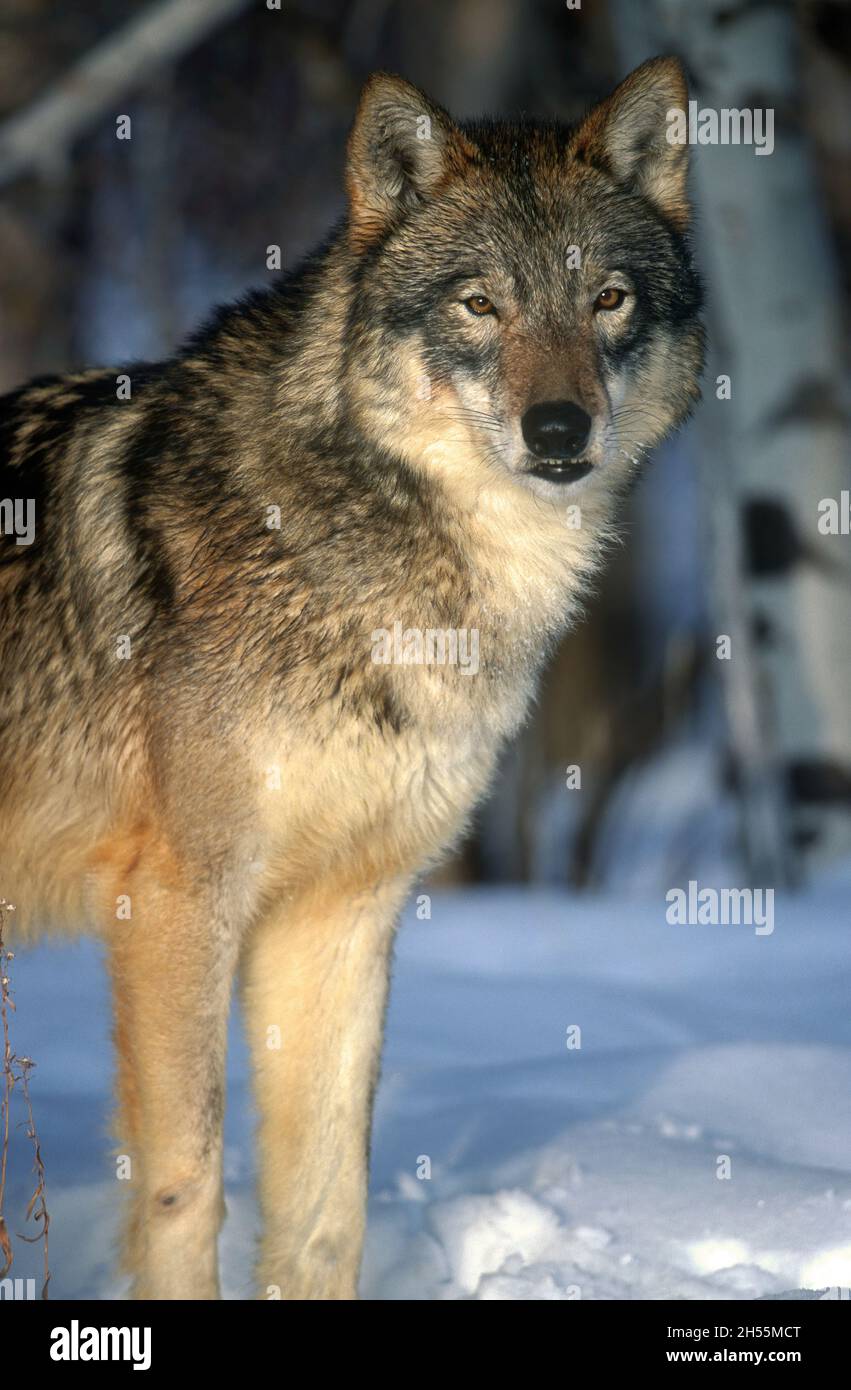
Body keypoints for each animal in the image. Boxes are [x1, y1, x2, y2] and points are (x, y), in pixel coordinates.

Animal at [0, 56, 703, 1299]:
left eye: (607, 300)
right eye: (479, 306)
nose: (558, 428)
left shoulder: (339, 911)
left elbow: (327, 1209)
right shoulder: (179, 898)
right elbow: (186, 1182)